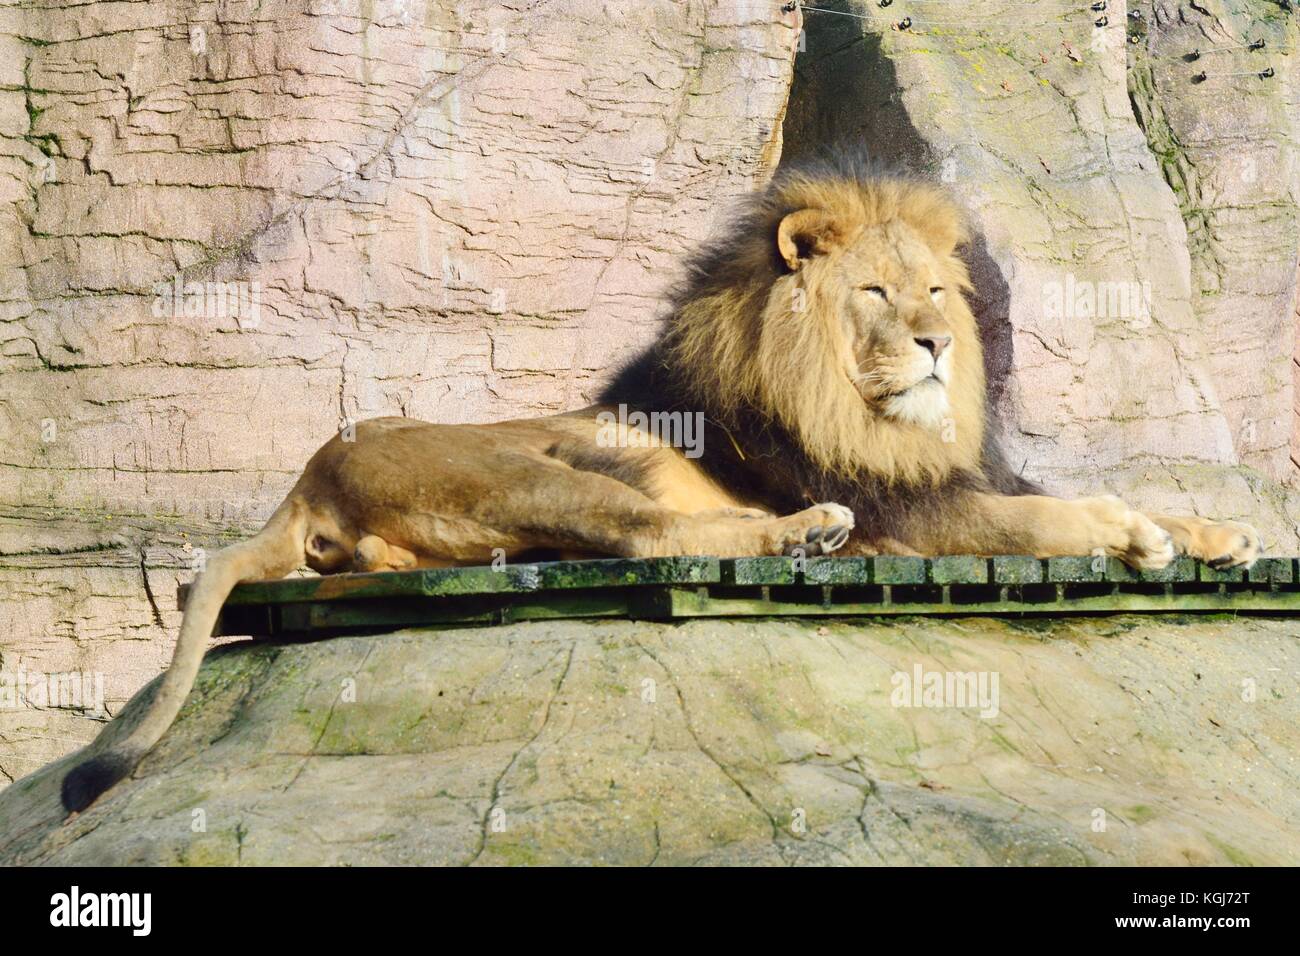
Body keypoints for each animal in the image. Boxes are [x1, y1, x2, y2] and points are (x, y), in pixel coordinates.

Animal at [60, 153, 1261, 813]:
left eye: (933, 289)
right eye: (875, 292)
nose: (939, 346)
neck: (865, 416)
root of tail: (308, 477)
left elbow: (1115, 500)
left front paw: (1217, 531)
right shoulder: (910, 516)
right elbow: (1042, 512)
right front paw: (1130, 530)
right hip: (538, 471)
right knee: (651, 538)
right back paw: (803, 531)